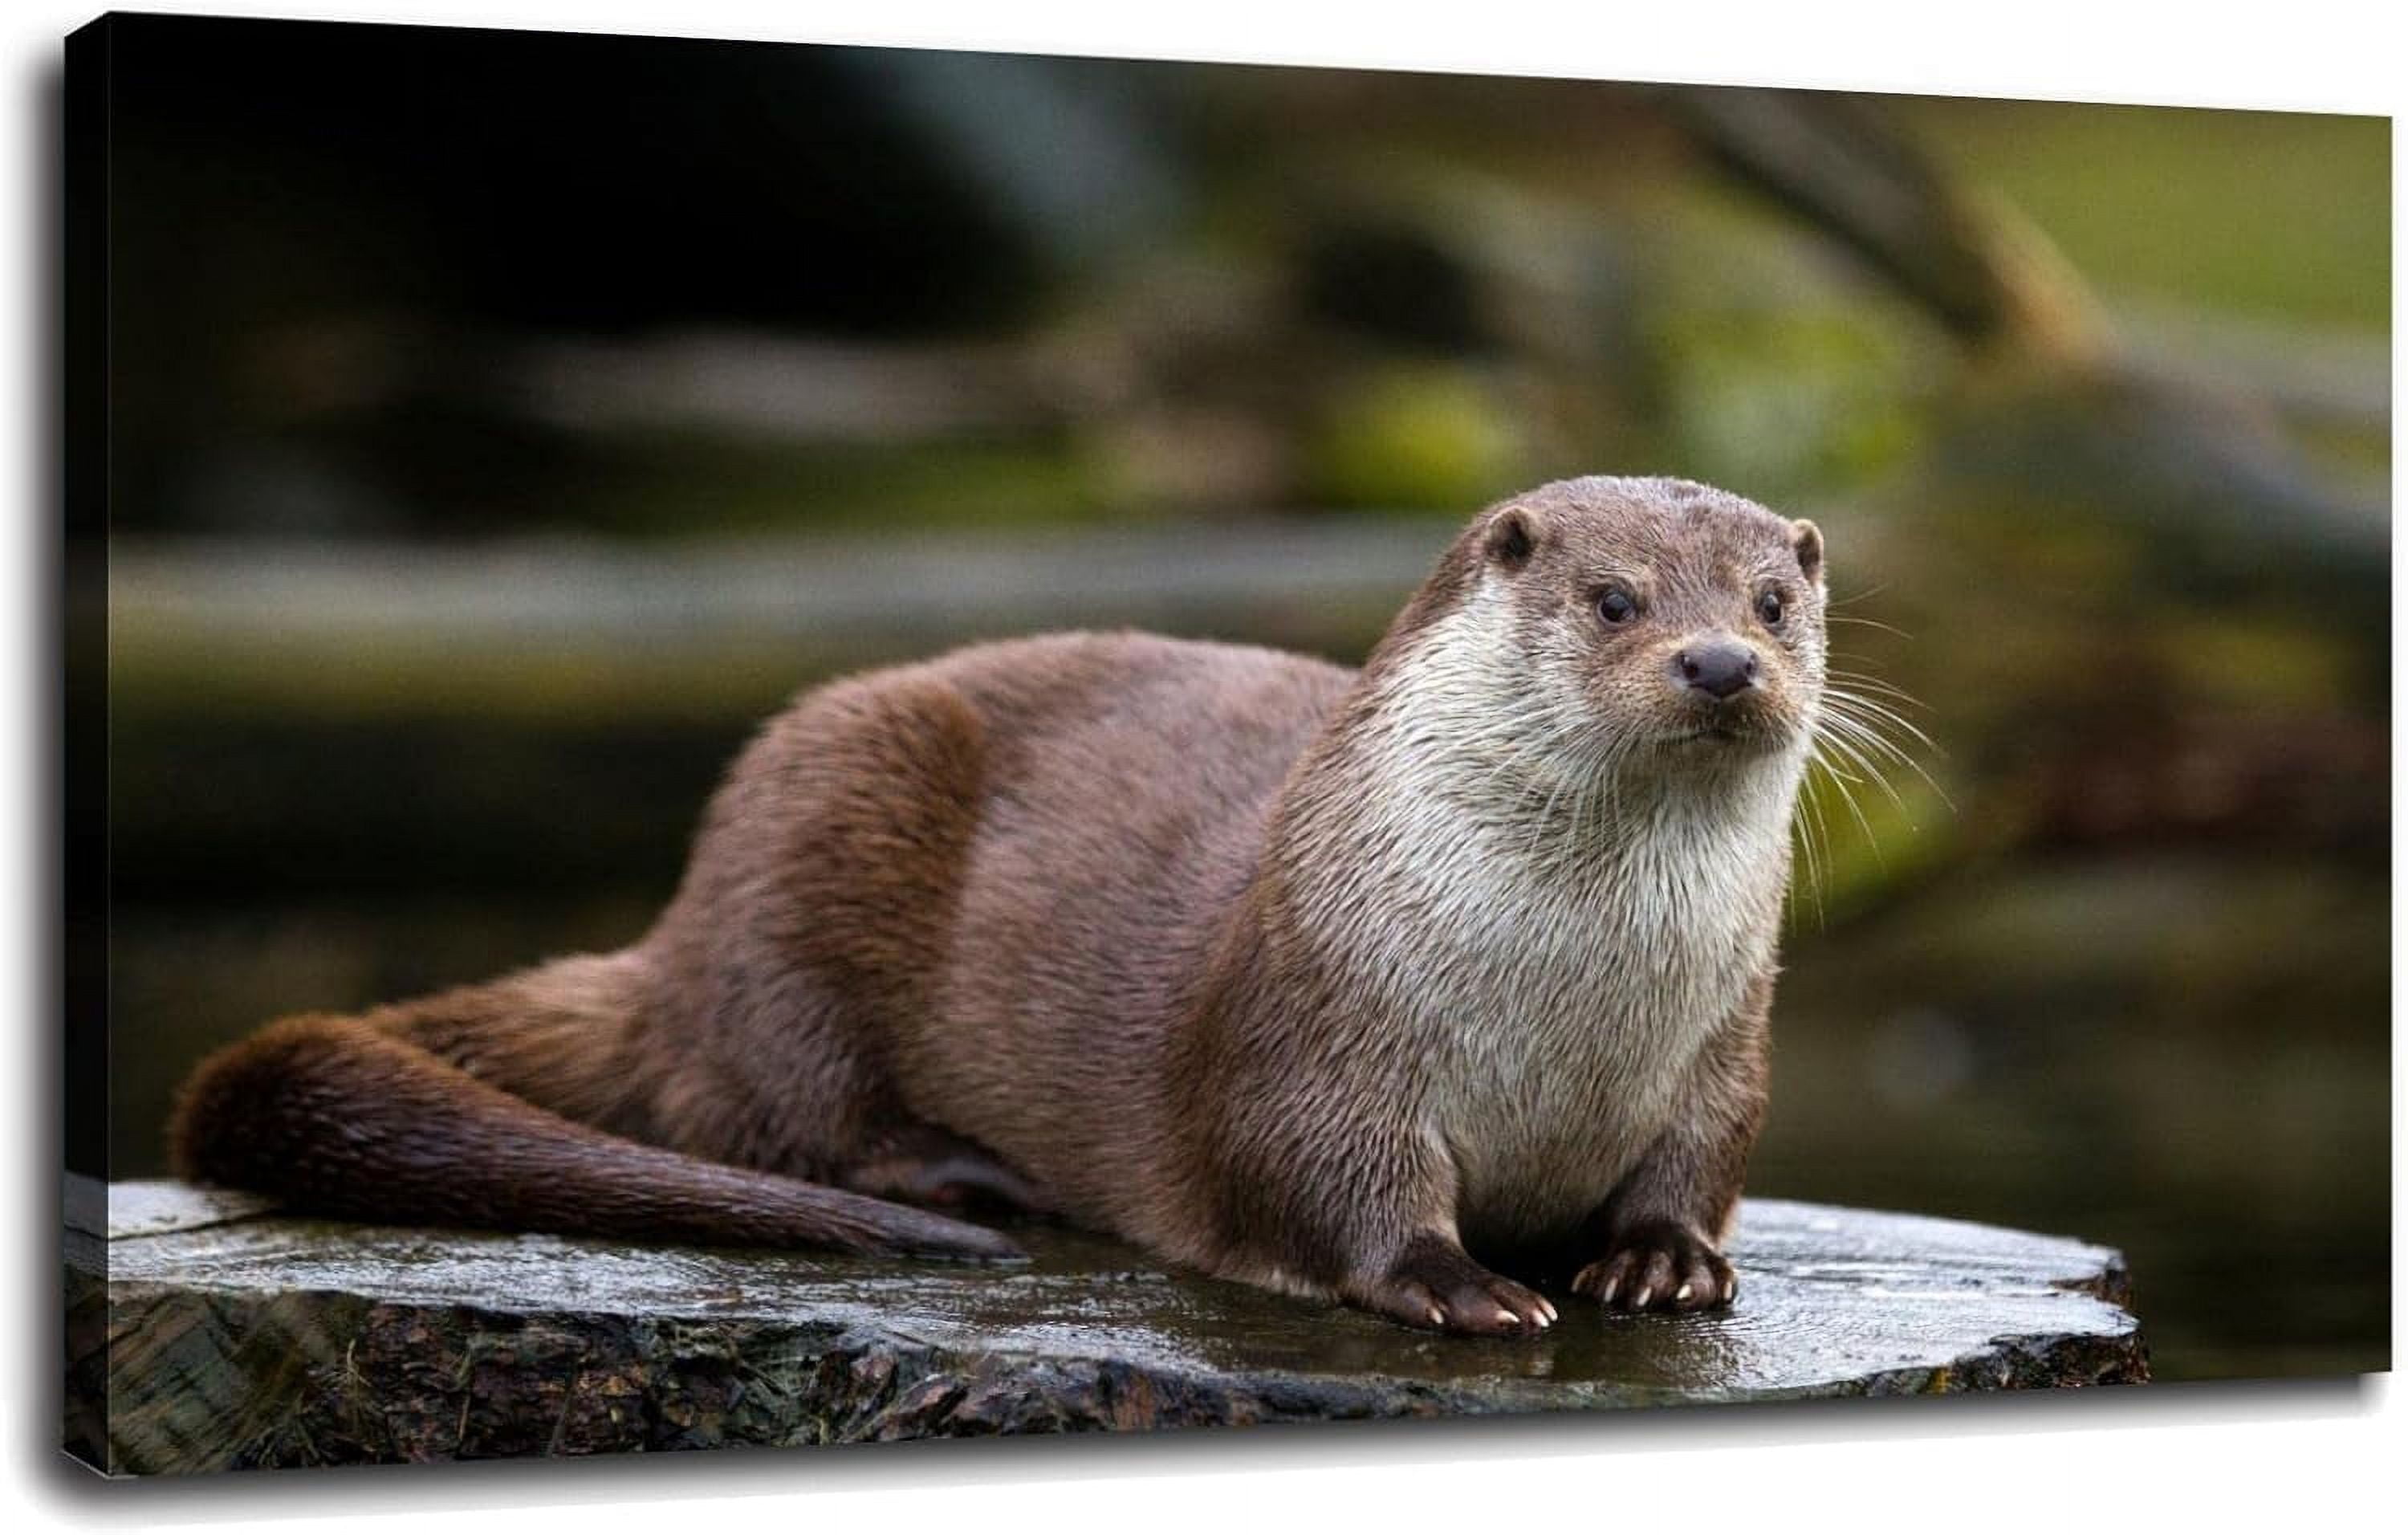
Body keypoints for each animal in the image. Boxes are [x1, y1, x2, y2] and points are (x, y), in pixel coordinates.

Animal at [171, 475, 1829, 1336]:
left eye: (1775, 602)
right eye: (1615, 599)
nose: (1721, 663)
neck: (1568, 1008)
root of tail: (678, 937)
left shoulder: (1728, 1045)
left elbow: (1702, 1159)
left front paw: (1661, 1261)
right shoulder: (1311, 1022)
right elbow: (1320, 1176)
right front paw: (1461, 1283)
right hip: (814, 820)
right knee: (752, 1103)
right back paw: (959, 1176)